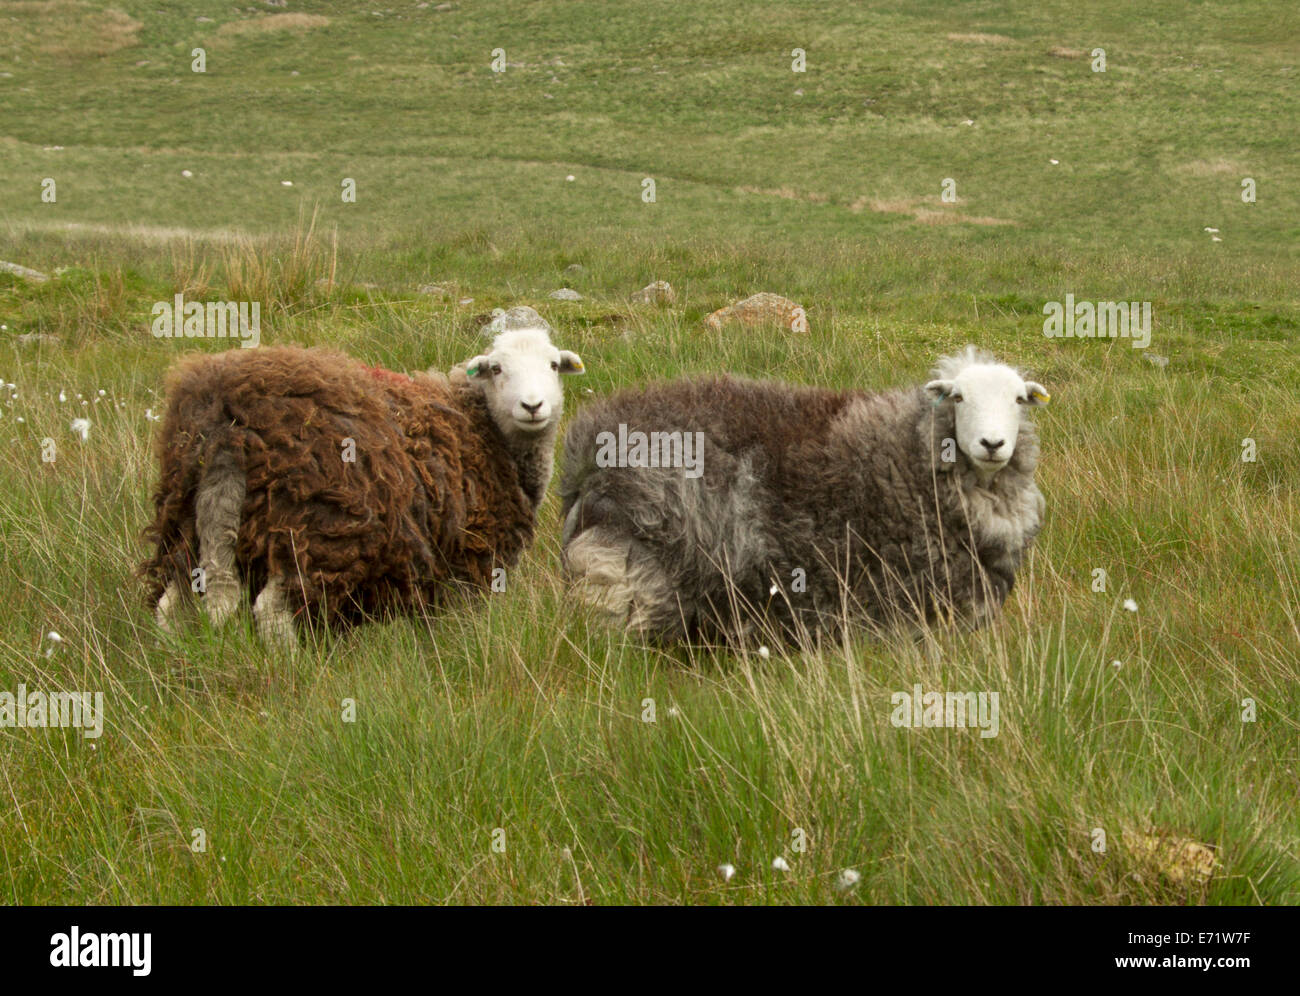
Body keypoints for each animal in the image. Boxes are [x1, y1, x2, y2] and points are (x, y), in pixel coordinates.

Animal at [141, 327, 585, 646]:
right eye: (497, 369)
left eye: (552, 365)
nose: (533, 406)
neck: (485, 429)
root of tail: (226, 418)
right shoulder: (469, 566)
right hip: (313, 529)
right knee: (272, 612)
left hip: (185, 517)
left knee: (171, 603)